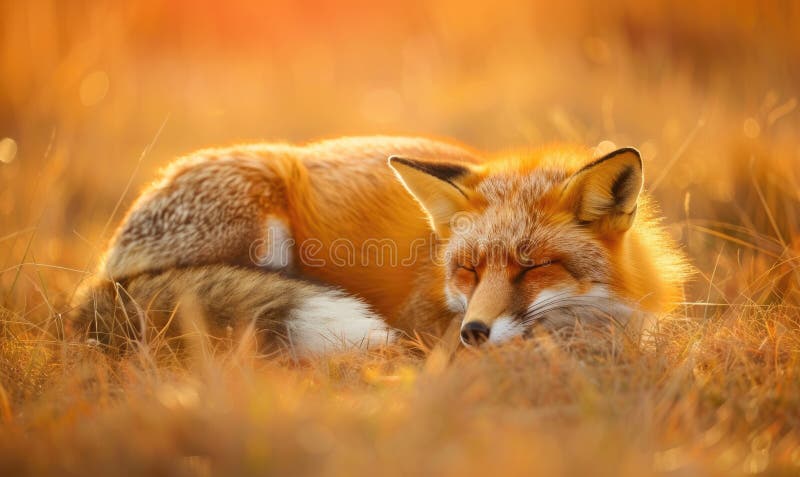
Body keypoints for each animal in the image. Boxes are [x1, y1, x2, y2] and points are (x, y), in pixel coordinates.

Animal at [72, 136, 689, 355]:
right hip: (261, 221)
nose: (472, 331)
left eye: (533, 266)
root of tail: (99, 277)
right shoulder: (428, 326)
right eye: (467, 270)